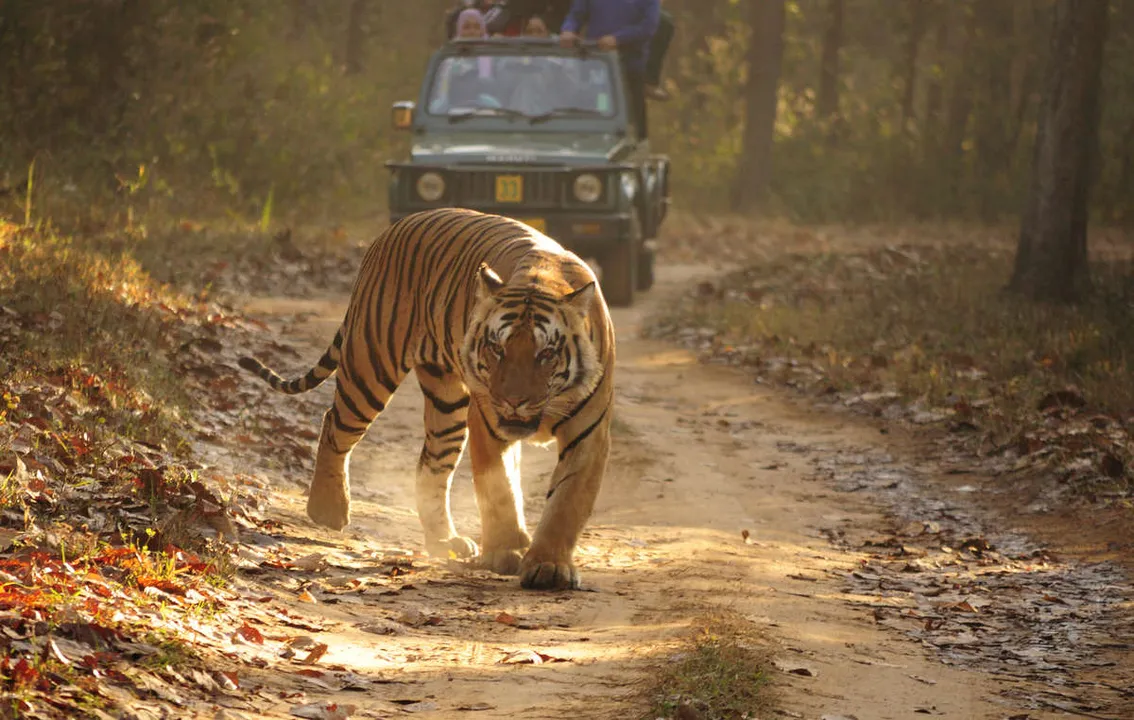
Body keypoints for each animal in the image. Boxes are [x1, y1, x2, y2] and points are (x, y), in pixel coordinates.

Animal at [238, 208, 614, 590]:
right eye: (497, 348)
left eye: (546, 354)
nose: (512, 401)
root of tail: (395, 227)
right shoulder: (488, 423)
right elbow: (499, 490)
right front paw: (505, 552)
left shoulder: (589, 434)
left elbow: (567, 502)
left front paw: (548, 565)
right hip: (371, 364)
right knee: (334, 424)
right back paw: (328, 509)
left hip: (446, 404)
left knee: (430, 466)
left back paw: (444, 540)